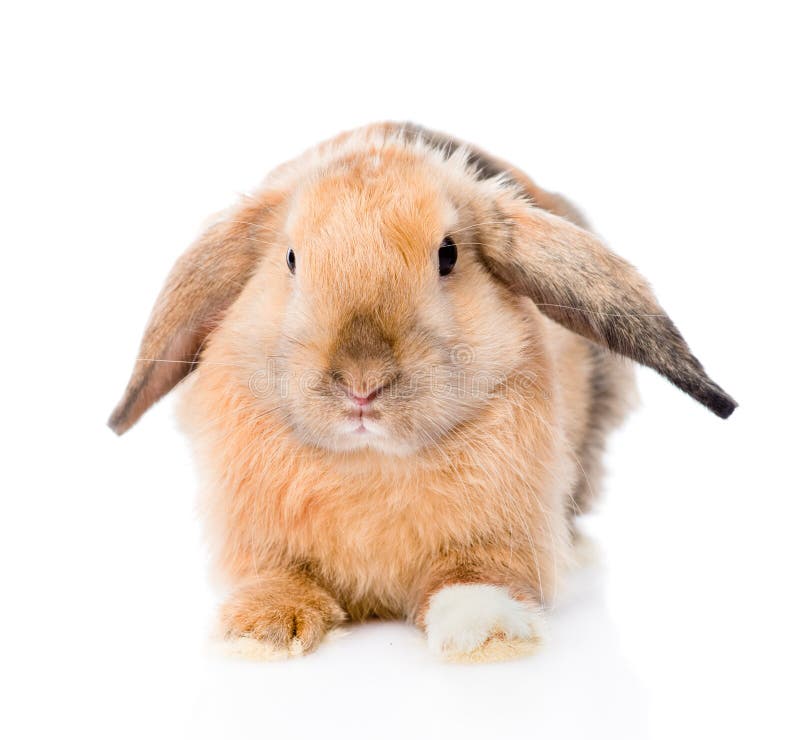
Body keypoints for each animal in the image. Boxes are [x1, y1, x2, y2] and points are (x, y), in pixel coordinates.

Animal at [109, 122, 736, 662]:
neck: (370, 462)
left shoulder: (503, 539)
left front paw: (486, 635)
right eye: (290, 259)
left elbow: (474, 580)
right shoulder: (255, 540)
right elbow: (275, 576)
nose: (362, 383)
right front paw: (261, 631)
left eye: (448, 255)